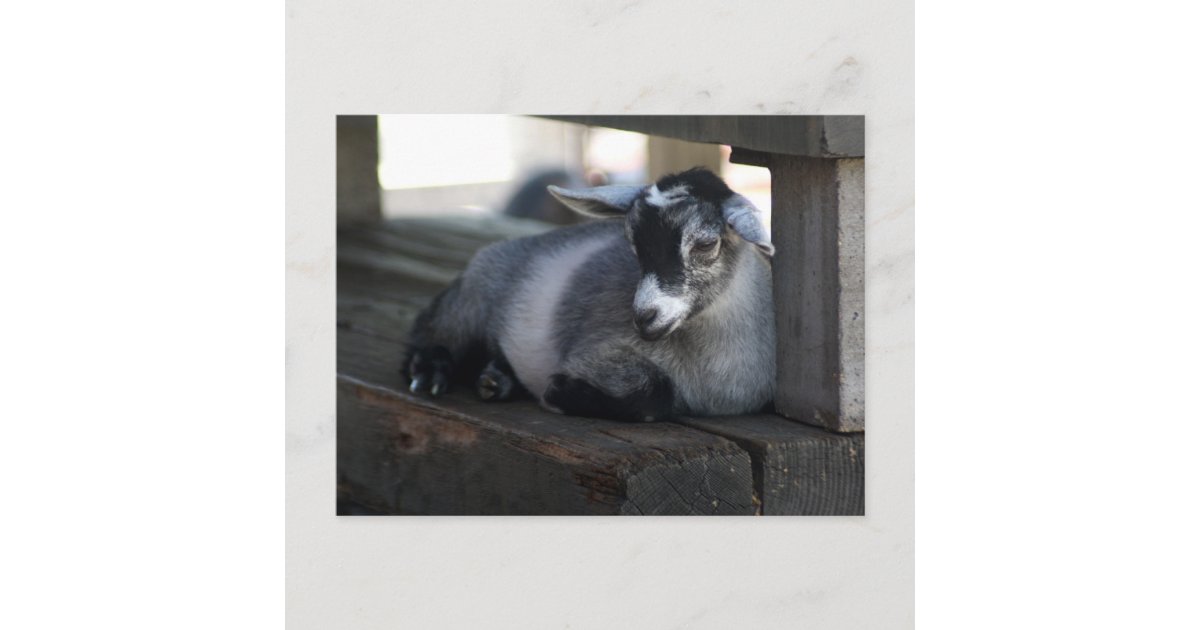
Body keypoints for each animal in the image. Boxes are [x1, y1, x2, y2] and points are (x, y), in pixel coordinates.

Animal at [402, 168, 776, 422]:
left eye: (706, 244)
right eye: (632, 242)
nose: (644, 316)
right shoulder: (596, 352)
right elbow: (654, 396)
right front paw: (560, 392)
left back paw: (496, 379)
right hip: (472, 298)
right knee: (430, 329)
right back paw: (430, 373)